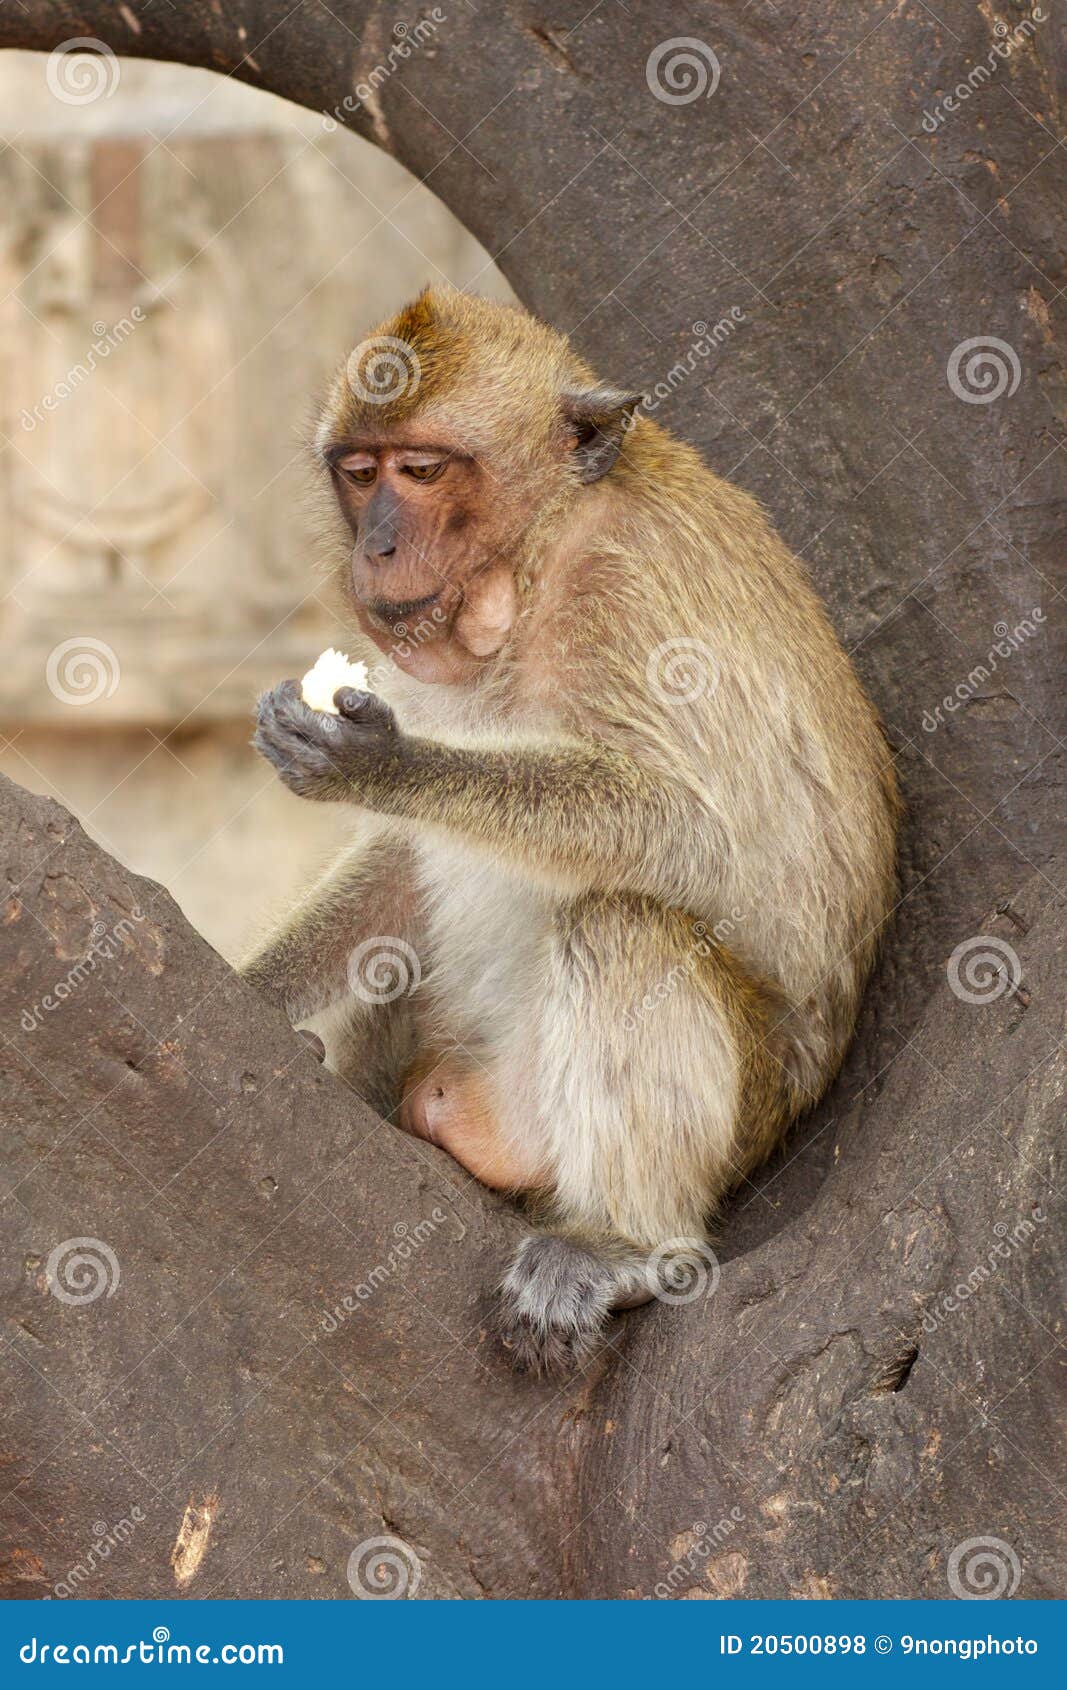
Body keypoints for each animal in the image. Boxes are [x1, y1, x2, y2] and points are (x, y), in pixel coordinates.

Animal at [242, 286, 900, 1375]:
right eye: (360, 473)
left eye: (423, 471)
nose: (374, 547)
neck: (536, 556)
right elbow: (408, 857)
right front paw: (254, 991)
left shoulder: (628, 595)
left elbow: (693, 832)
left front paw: (387, 767)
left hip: (738, 1116)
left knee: (619, 925)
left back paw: (629, 1244)